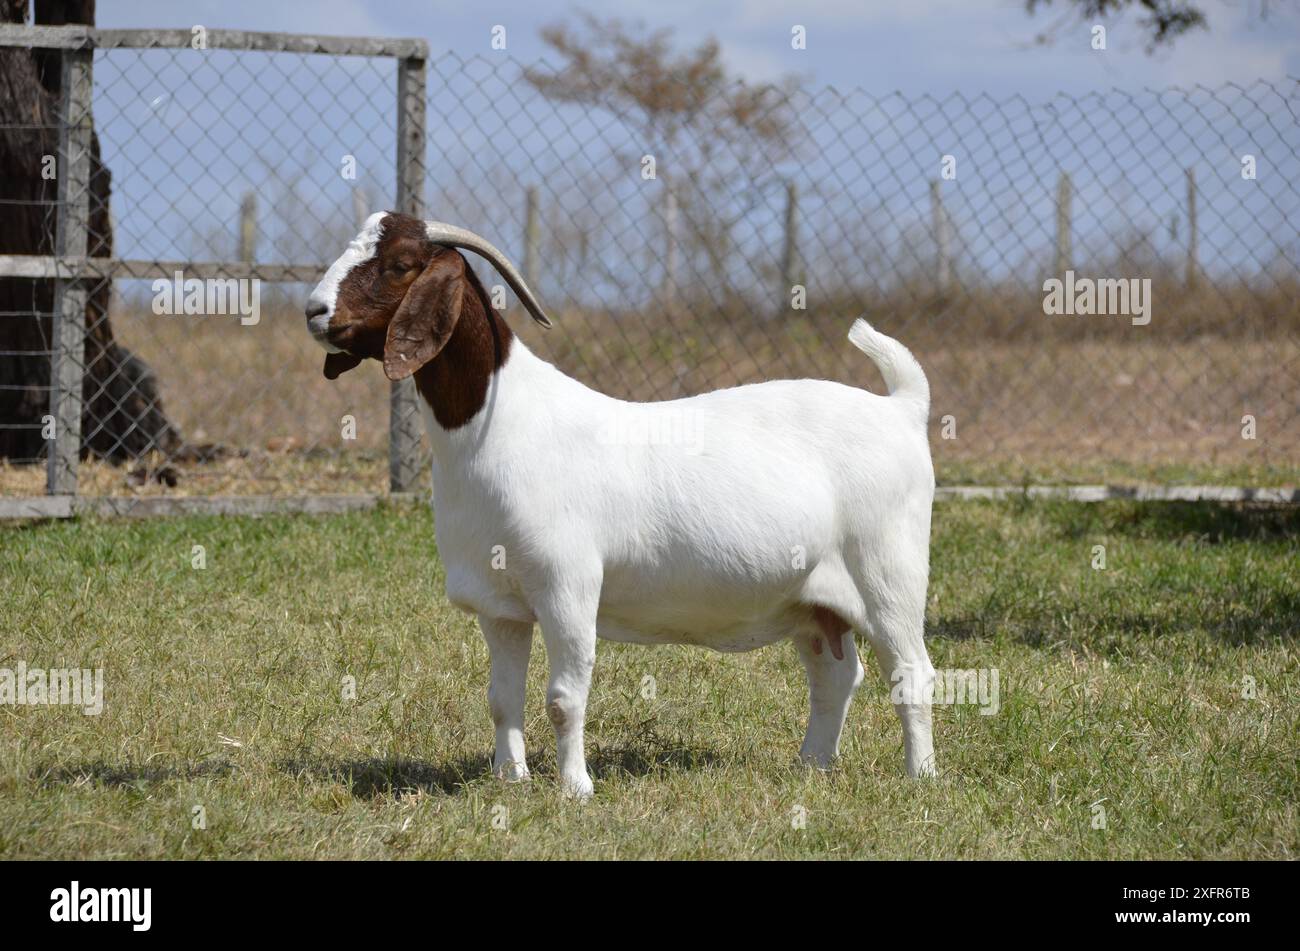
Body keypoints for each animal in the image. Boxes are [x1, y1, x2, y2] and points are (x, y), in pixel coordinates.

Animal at [306, 212, 937, 799]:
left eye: (399, 263)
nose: (314, 310)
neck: (499, 423)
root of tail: (902, 408)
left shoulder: (568, 587)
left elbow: (564, 698)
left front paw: (575, 789)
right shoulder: (501, 605)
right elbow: (502, 698)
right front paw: (511, 779)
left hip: (889, 573)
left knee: (912, 673)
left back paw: (920, 776)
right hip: (813, 601)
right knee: (836, 674)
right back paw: (814, 766)